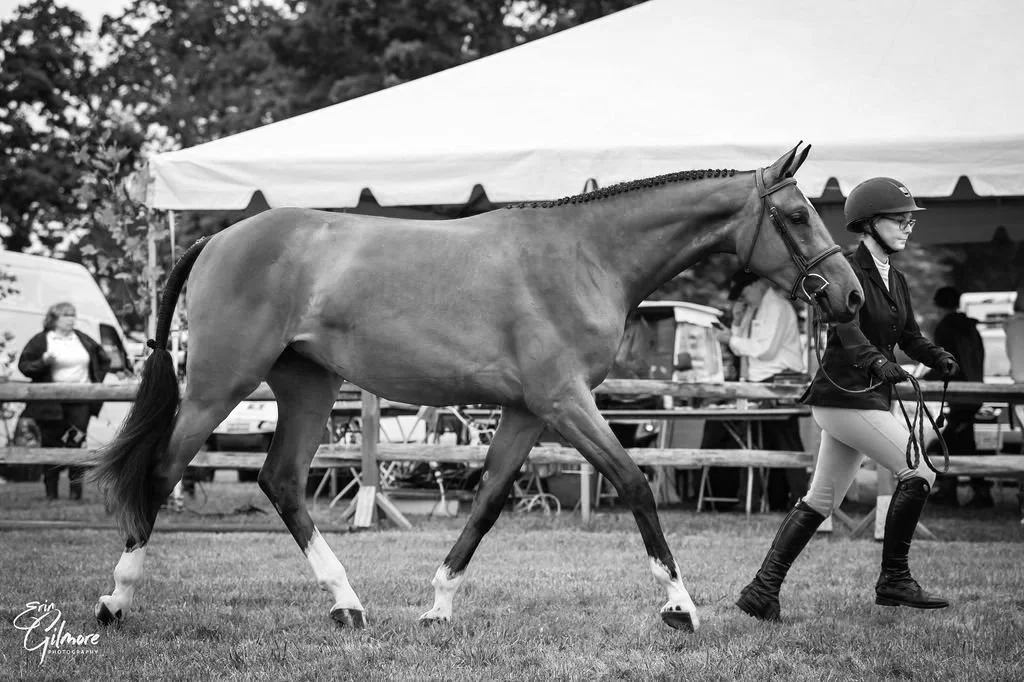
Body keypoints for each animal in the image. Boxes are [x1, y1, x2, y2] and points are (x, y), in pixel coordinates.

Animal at [90, 142, 862, 633]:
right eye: (798, 215)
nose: (850, 296)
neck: (585, 255)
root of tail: (220, 239)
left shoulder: (527, 412)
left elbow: (488, 502)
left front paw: (438, 606)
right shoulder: (565, 402)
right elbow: (634, 483)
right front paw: (678, 606)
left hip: (307, 385)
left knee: (280, 481)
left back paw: (346, 603)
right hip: (219, 384)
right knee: (162, 470)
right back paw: (116, 602)